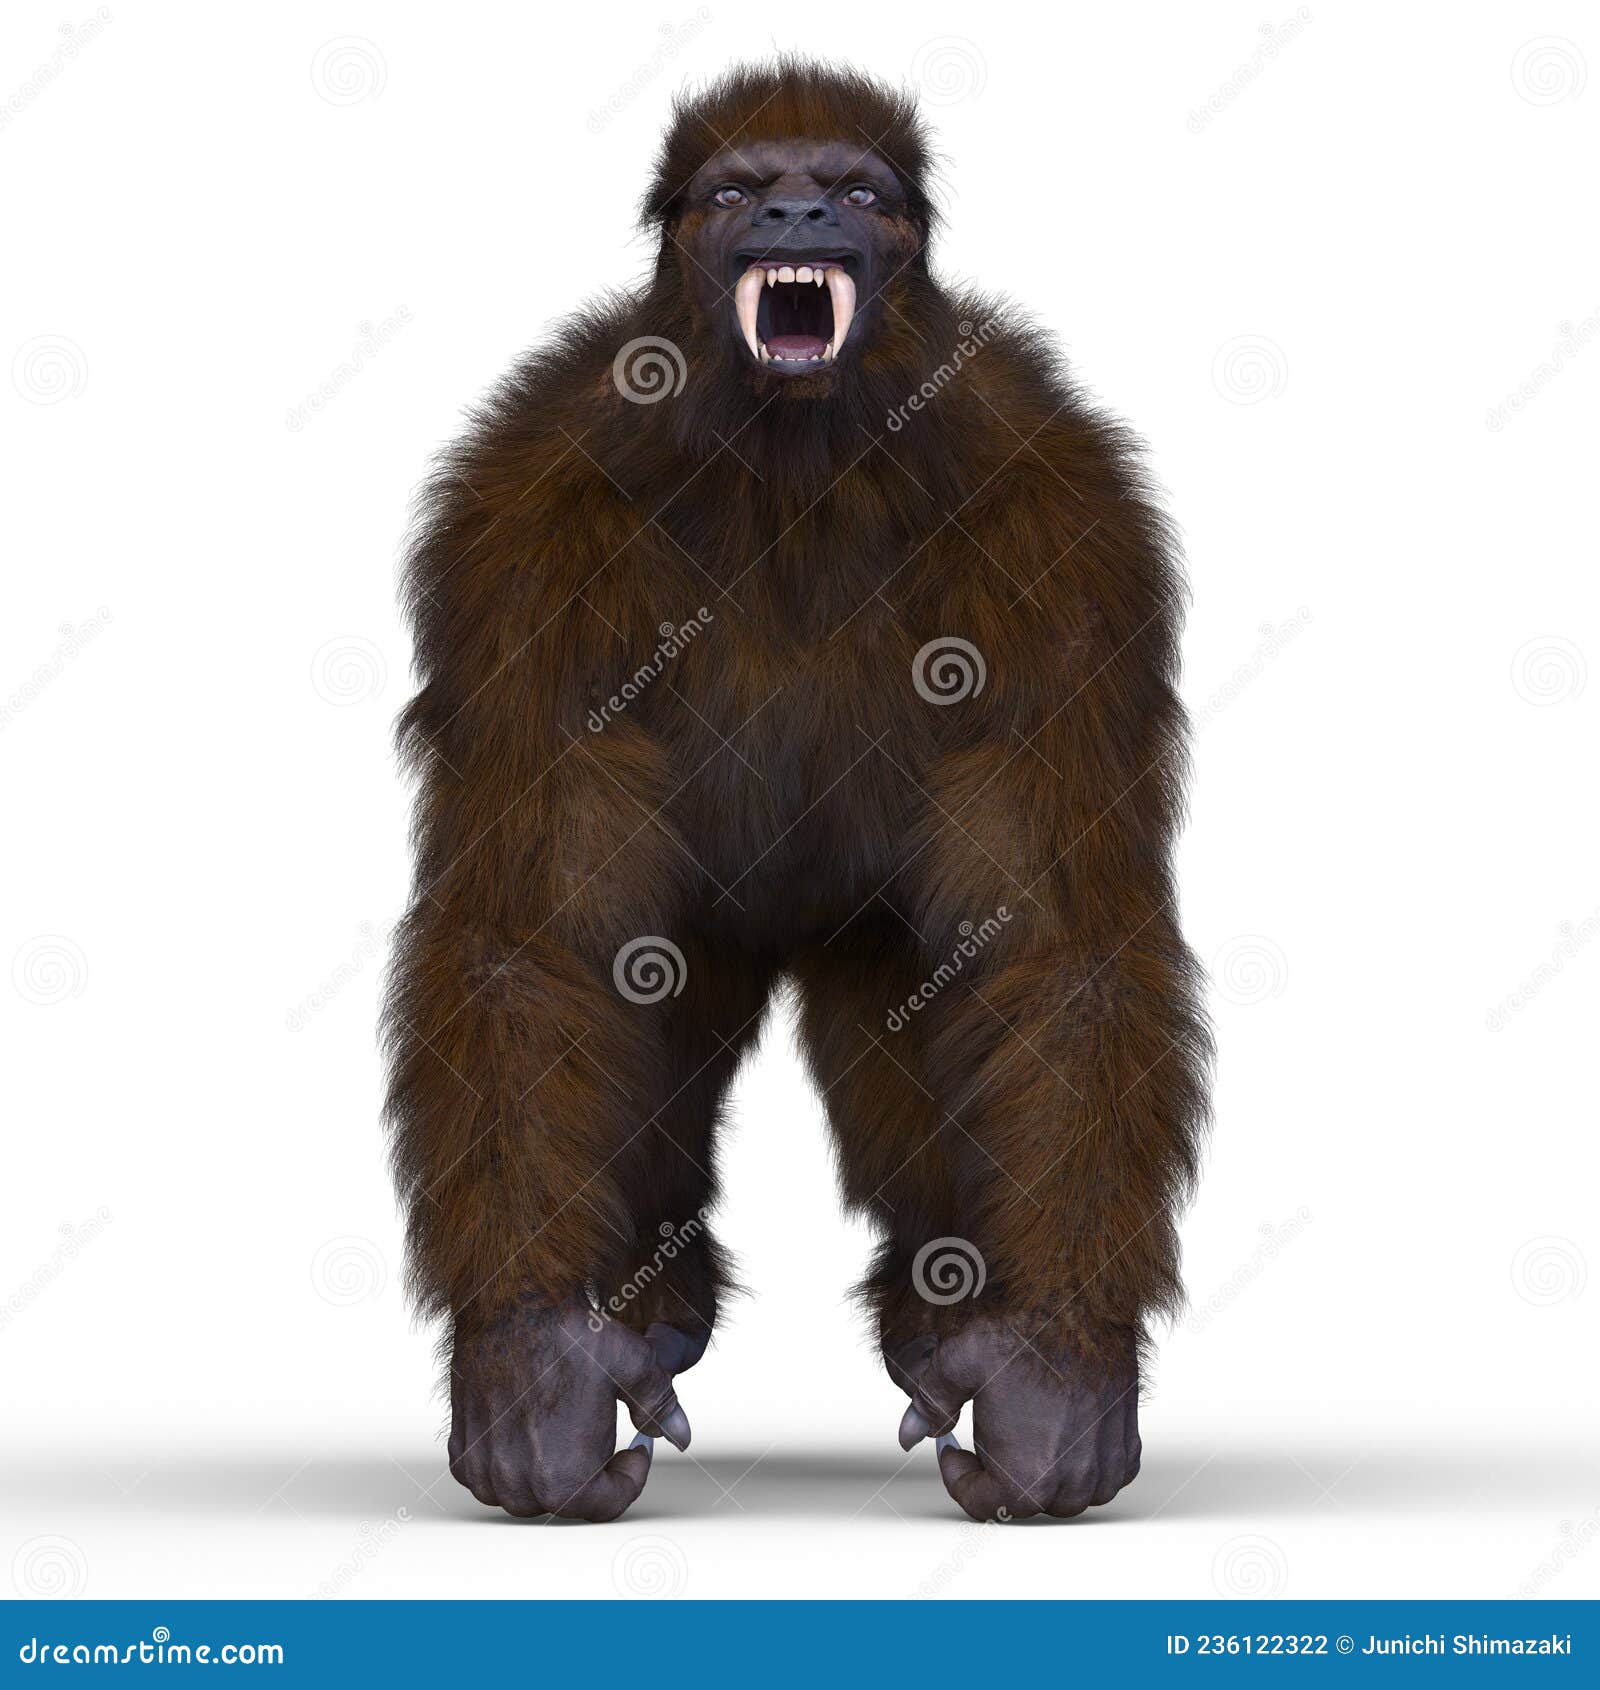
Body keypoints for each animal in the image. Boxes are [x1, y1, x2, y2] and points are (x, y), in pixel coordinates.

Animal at [384, 57, 1211, 1524]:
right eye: (737, 193)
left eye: (859, 194)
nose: (800, 208)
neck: (792, 455)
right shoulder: (524, 524)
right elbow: (530, 937)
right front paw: (537, 1360)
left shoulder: (1064, 524)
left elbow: (1059, 942)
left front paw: (1050, 1367)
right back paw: (641, 1313)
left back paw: (948, 1319)